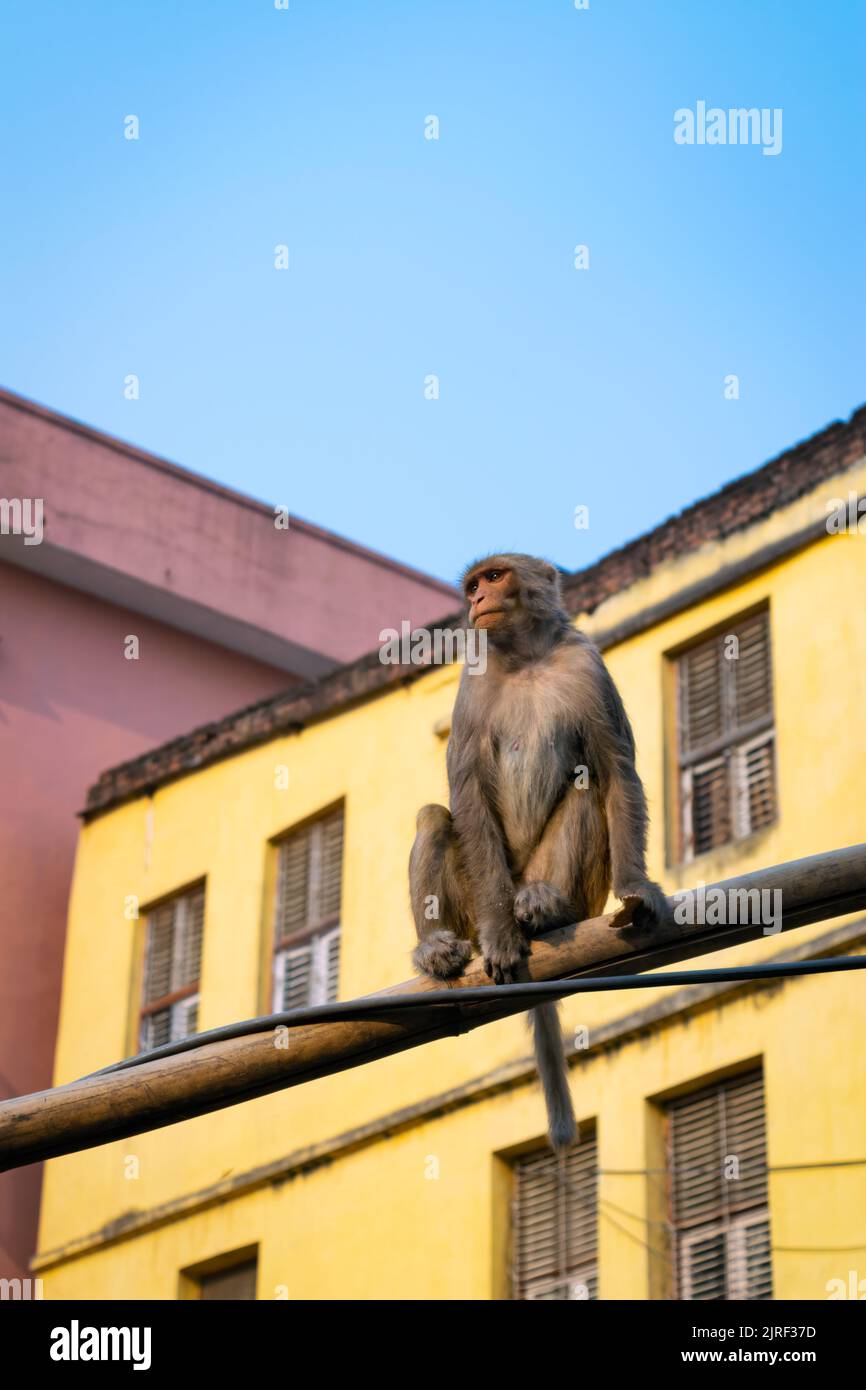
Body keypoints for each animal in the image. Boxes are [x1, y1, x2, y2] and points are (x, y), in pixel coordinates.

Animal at [408, 553, 668, 1151]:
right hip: (479, 897)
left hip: (558, 879)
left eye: (494, 577)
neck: (525, 657)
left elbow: (616, 771)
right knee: (436, 819)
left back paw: (546, 909)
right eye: (473, 586)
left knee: (588, 788)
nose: (477, 600)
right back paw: (439, 947)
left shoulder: (586, 666)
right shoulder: (473, 682)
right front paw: (501, 937)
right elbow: (468, 795)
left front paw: (637, 890)